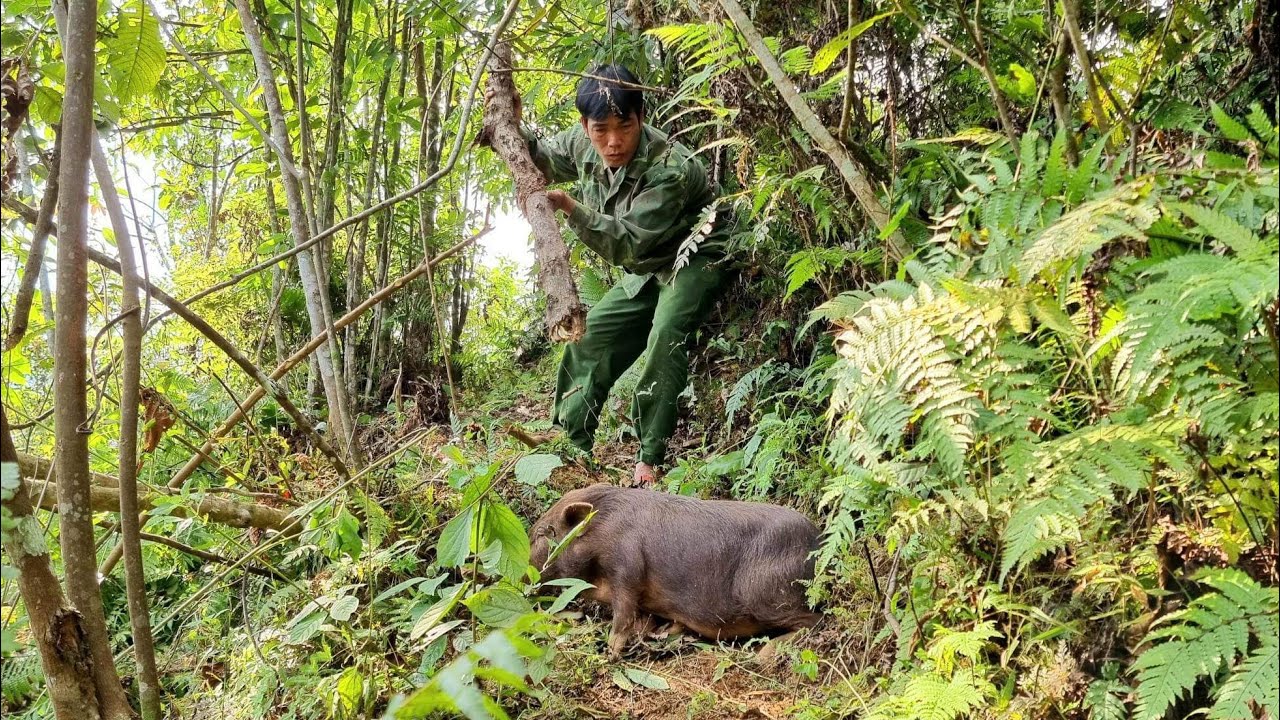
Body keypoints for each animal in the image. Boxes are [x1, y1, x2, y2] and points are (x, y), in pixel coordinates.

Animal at [529, 483, 821, 656]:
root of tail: (817, 538)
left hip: (764, 593)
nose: (523, 576)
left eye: (543, 533)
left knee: (815, 621)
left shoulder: (626, 566)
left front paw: (610, 652)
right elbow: (641, 619)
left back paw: (762, 656)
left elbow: (623, 613)